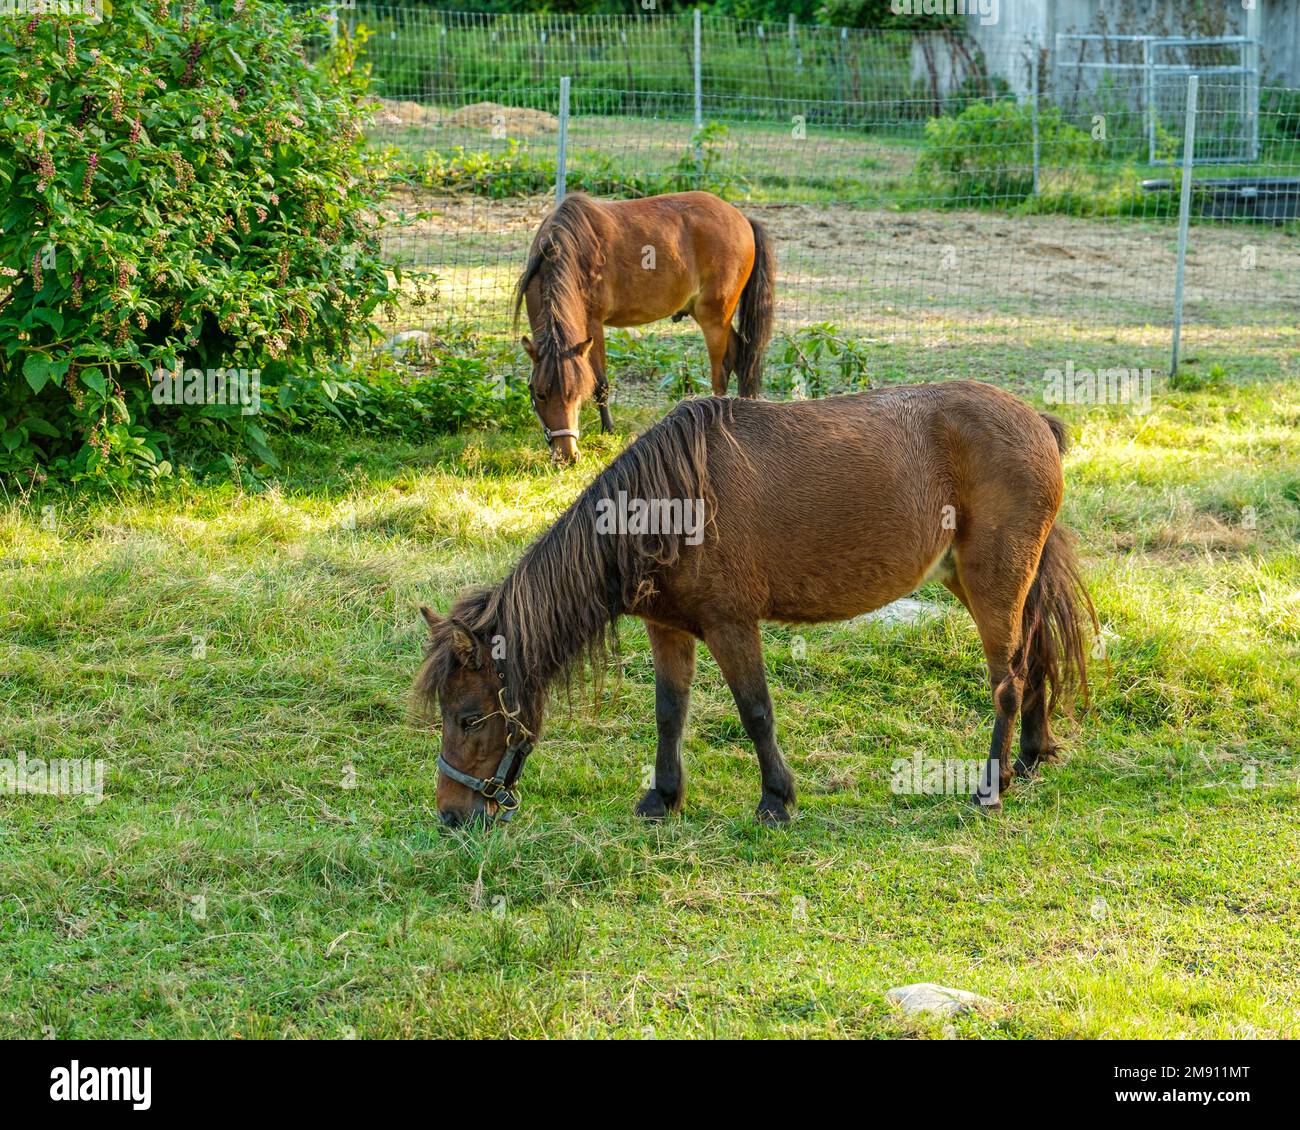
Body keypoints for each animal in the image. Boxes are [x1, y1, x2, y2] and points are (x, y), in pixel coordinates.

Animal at [415, 381, 1096, 828]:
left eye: (469, 718)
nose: (451, 814)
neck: (668, 504)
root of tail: (1038, 421)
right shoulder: (668, 629)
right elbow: (670, 715)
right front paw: (662, 799)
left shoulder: (731, 626)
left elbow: (756, 713)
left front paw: (776, 799)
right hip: (985, 581)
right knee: (1033, 660)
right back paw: (1029, 759)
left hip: (993, 582)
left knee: (1006, 681)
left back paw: (991, 785)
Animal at [514, 190, 775, 463]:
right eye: (539, 394)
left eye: (576, 394)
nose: (566, 455)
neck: (568, 250)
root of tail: (742, 218)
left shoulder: (593, 323)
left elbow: (601, 383)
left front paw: (608, 430)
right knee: (739, 357)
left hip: (714, 318)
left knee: (721, 373)